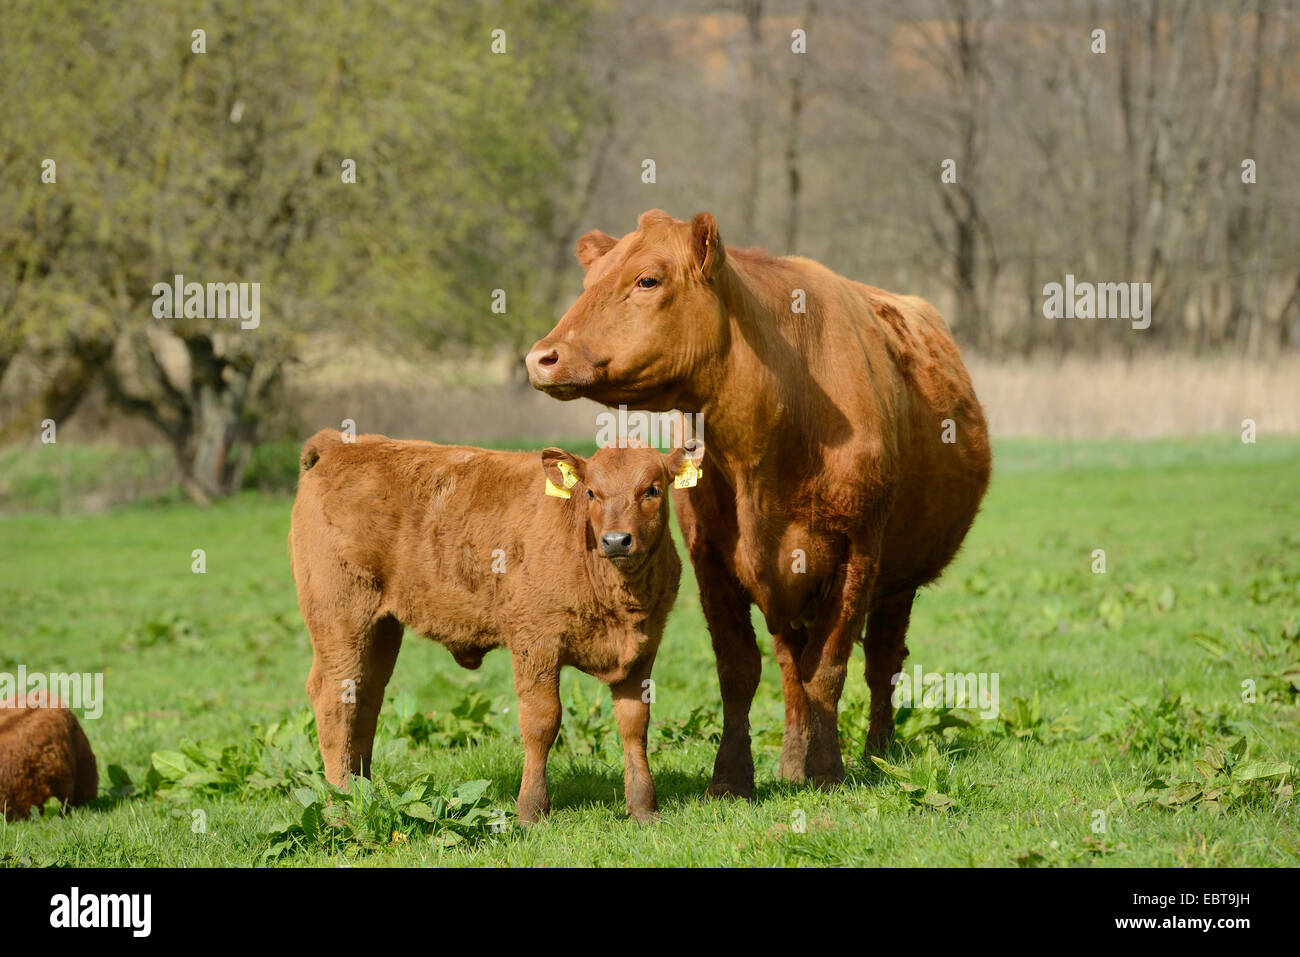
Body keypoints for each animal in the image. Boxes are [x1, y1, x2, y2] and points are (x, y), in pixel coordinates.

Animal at [288, 428, 703, 822]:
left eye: (652, 490)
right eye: (591, 492)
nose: (616, 540)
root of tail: (340, 444)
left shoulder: (644, 647)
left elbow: (635, 724)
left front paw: (643, 808)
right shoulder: (536, 642)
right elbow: (541, 722)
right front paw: (531, 810)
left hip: (381, 629)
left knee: (364, 696)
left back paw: (364, 793)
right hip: (341, 617)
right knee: (333, 699)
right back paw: (342, 807)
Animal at [526, 209, 991, 797]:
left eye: (648, 280)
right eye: (589, 282)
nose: (541, 357)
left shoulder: (858, 554)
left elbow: (828, 669)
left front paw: (828, 771)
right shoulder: (711, 560)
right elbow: (742, 670)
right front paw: (732, 776)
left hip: (898, 580)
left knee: (880, 662)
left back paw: (877, 752)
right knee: (792, 665)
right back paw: (793, 759)